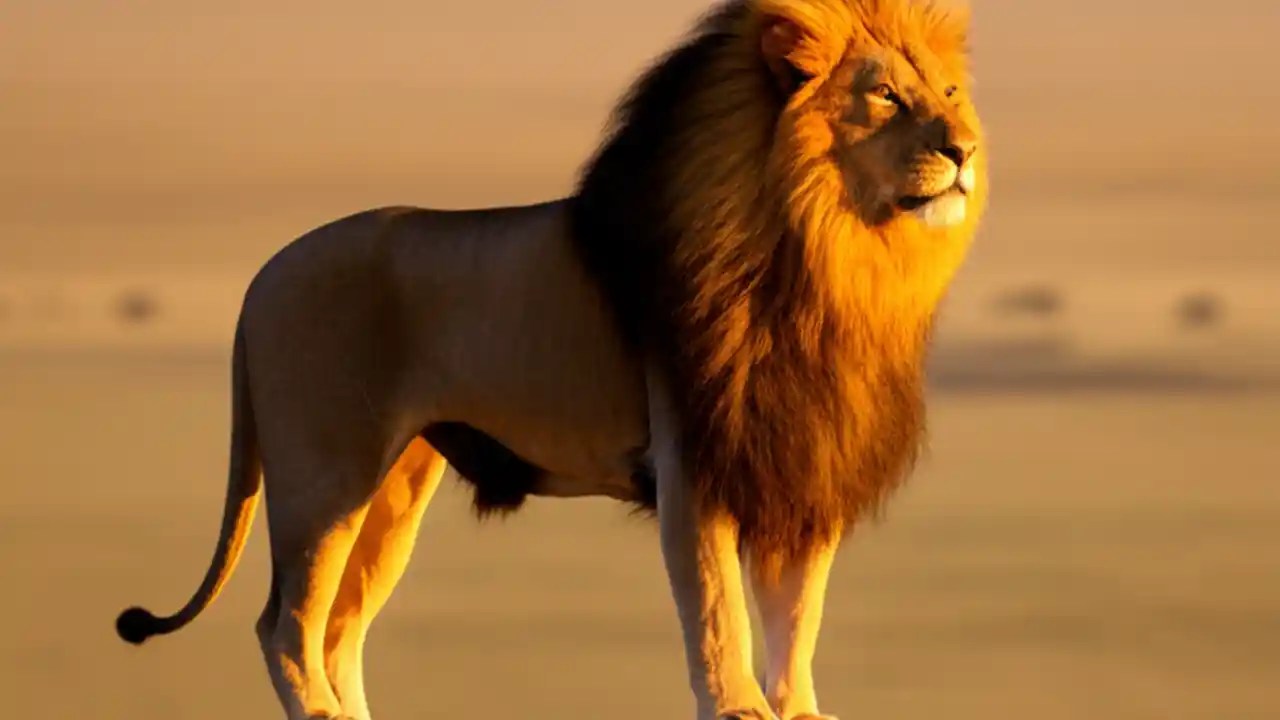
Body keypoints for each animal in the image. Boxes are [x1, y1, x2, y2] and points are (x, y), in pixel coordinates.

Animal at [113, 1, 987, 719]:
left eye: (948, 93)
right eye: (885, 95)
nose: (966, 150)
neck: (831, 254)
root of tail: (262, 276)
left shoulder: (802, 459)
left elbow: (798, 609)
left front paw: (797, 708)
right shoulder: (694, 459)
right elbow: (718, 608)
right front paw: (738, 706)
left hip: (391, 490)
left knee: (338, 631)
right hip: (323, 475)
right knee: (286, 626)